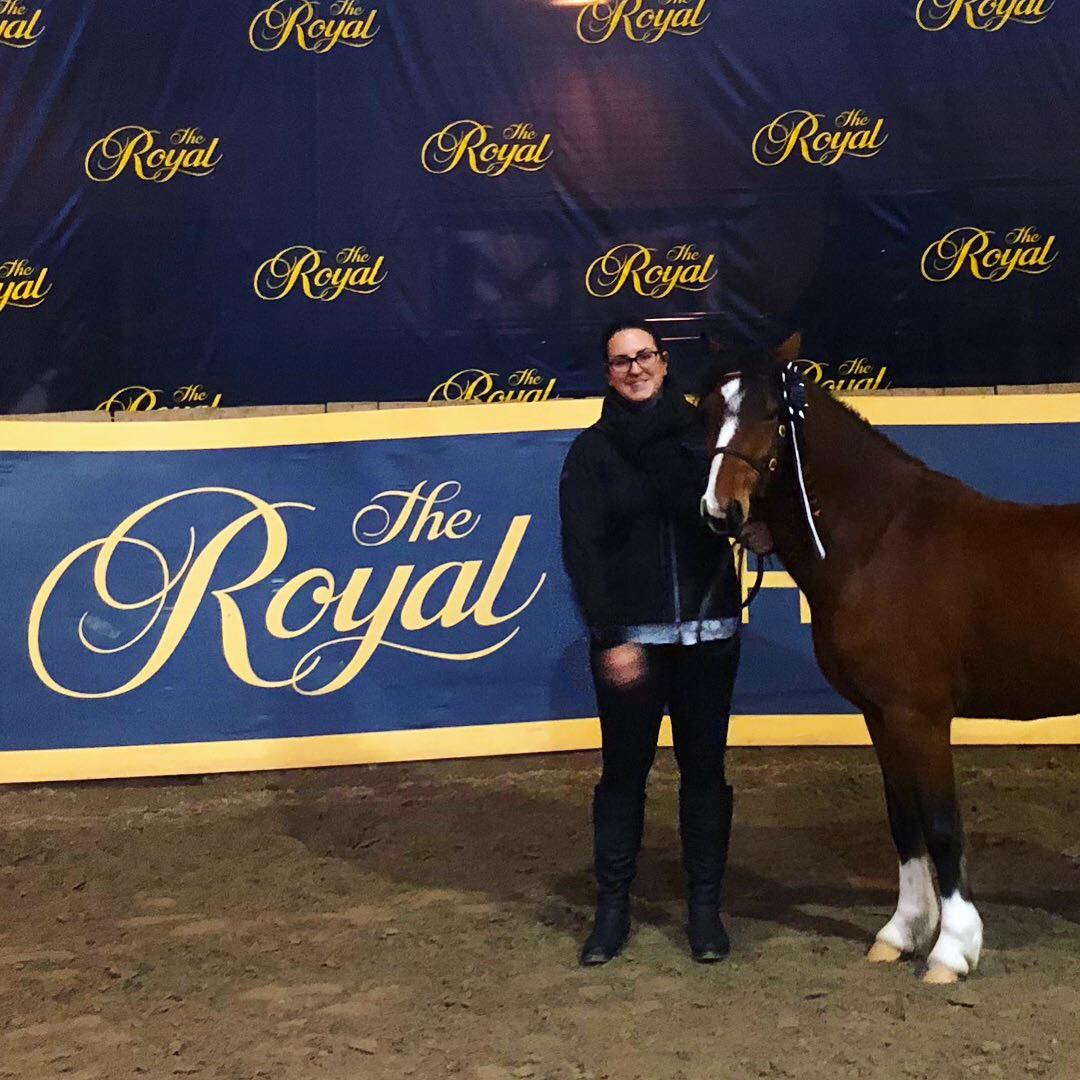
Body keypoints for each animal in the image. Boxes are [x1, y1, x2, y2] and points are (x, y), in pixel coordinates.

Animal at [697, 332, 1080, 984]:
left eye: (772, 416)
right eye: (707, 414)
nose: (721, 510)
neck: (878, 543)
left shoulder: (919, 716)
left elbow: (943, 827)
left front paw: (952, 950)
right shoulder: (880, 715)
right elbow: (905, 823)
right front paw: (901, 934)